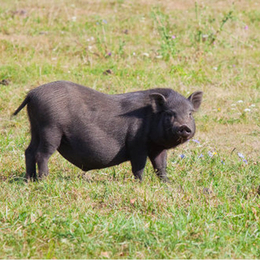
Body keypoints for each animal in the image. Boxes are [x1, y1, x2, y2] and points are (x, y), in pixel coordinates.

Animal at [13, 80, 202, 181]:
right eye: (169, 113)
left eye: (190, 113)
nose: (184, 127)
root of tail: (32, 94)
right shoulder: (137, 144)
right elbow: (139, 166)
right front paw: (140, 183)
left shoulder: (157, 148)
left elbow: (161, 167)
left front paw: (167, 183)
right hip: (50, 129)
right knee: (41, 154)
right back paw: (44, 180)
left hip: (35, 128)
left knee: (28, 151)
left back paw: (29, 180)